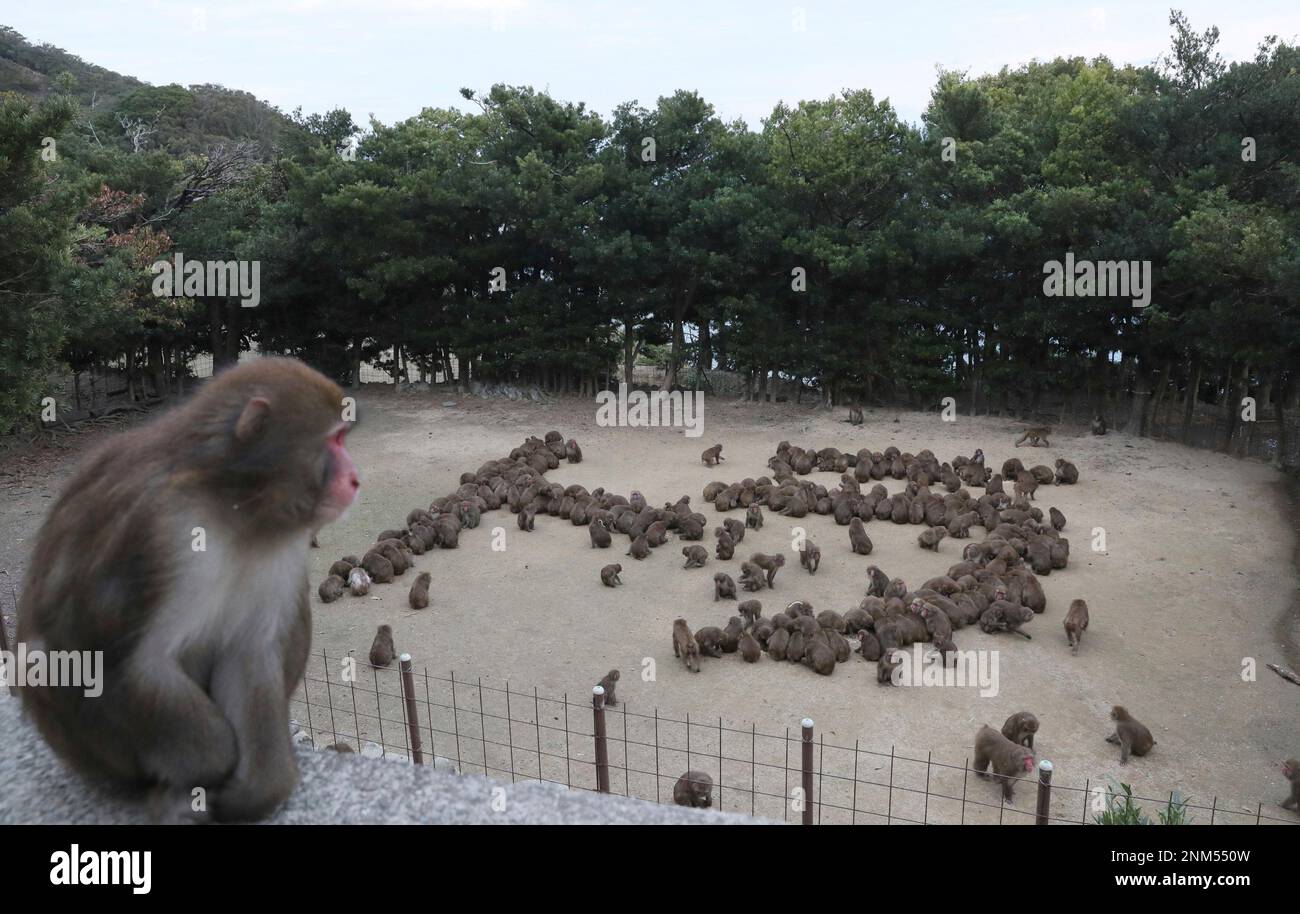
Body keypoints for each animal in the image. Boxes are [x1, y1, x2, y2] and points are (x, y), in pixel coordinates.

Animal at [16, 357, 362, 823]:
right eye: (335, 440)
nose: (355, 479)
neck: (233, 505)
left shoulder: (282, 543)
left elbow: (249, 651)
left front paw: (256, 789)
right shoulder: (160, 526)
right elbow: (113, 658)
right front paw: (210, 764)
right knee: (43, 658)